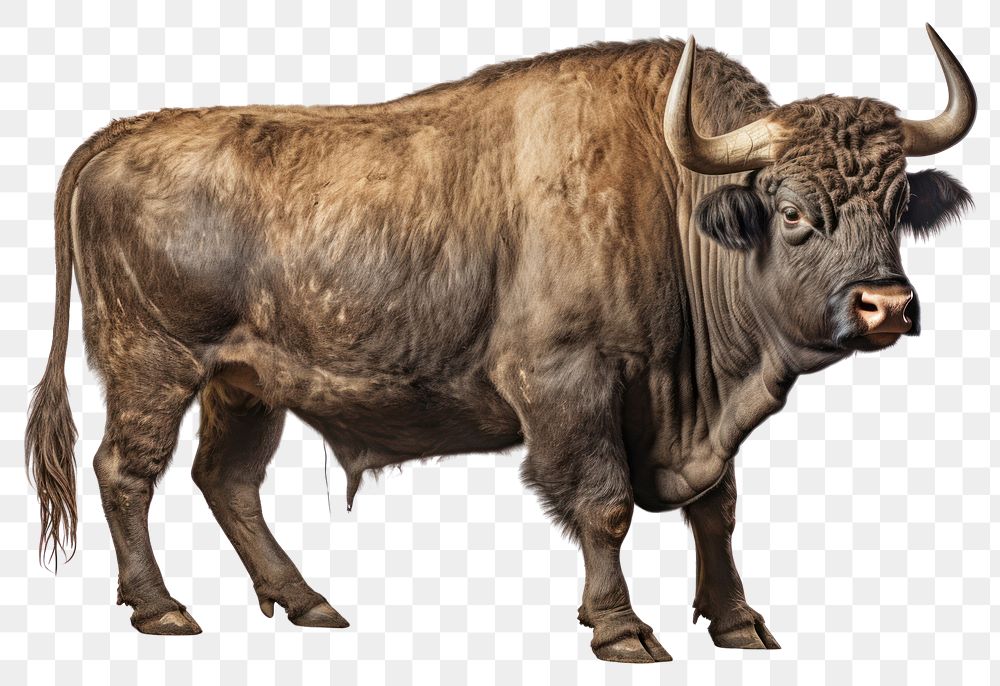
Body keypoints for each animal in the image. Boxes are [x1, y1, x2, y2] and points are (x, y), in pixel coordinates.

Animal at [25, 25, 975, 663]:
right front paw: (623, 631)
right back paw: (163, 610)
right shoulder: (568, 386)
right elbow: (605, 504)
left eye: (899, 206)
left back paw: (308, 604)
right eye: (793, 213)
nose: (887, 305)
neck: (677, 201)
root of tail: (118, 137)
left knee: (226, 481)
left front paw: (740, 623)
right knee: (127, 472)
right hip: (156, 366)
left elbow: (717, 508)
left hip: (245, 385)